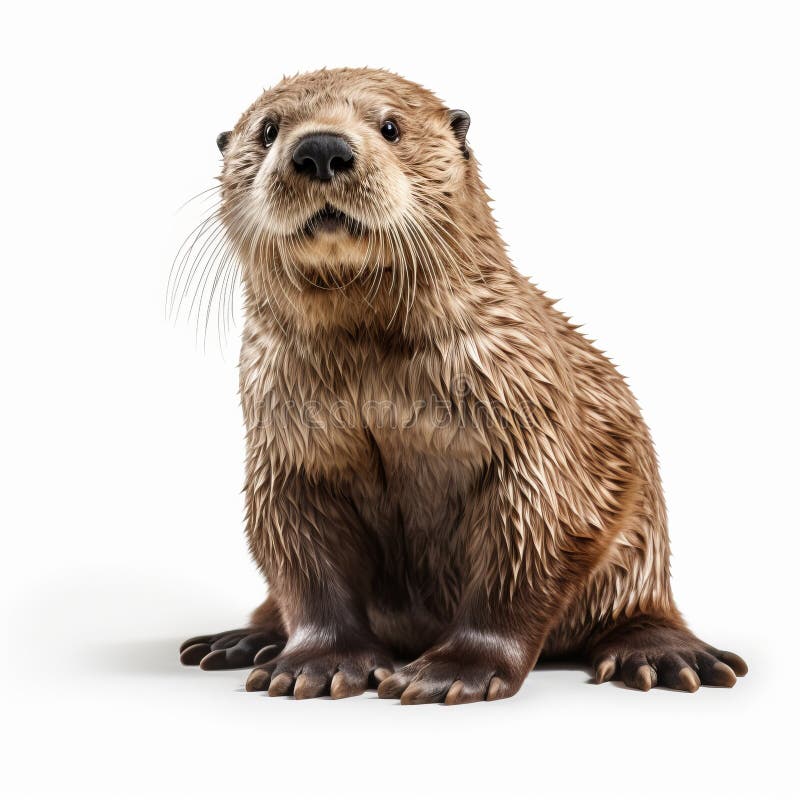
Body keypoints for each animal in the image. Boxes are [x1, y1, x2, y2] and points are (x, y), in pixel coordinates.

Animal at [178, 68, 747, 703]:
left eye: (391, 126)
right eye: (269, 130)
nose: (321, 149)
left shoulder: (533, 430)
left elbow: (529, 548)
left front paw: (454, 670)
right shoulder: (286, 451)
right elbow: (299, 557)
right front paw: (318, 663)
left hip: (643, 554)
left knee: (639, 603)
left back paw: (666, 654)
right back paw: (238, 641)